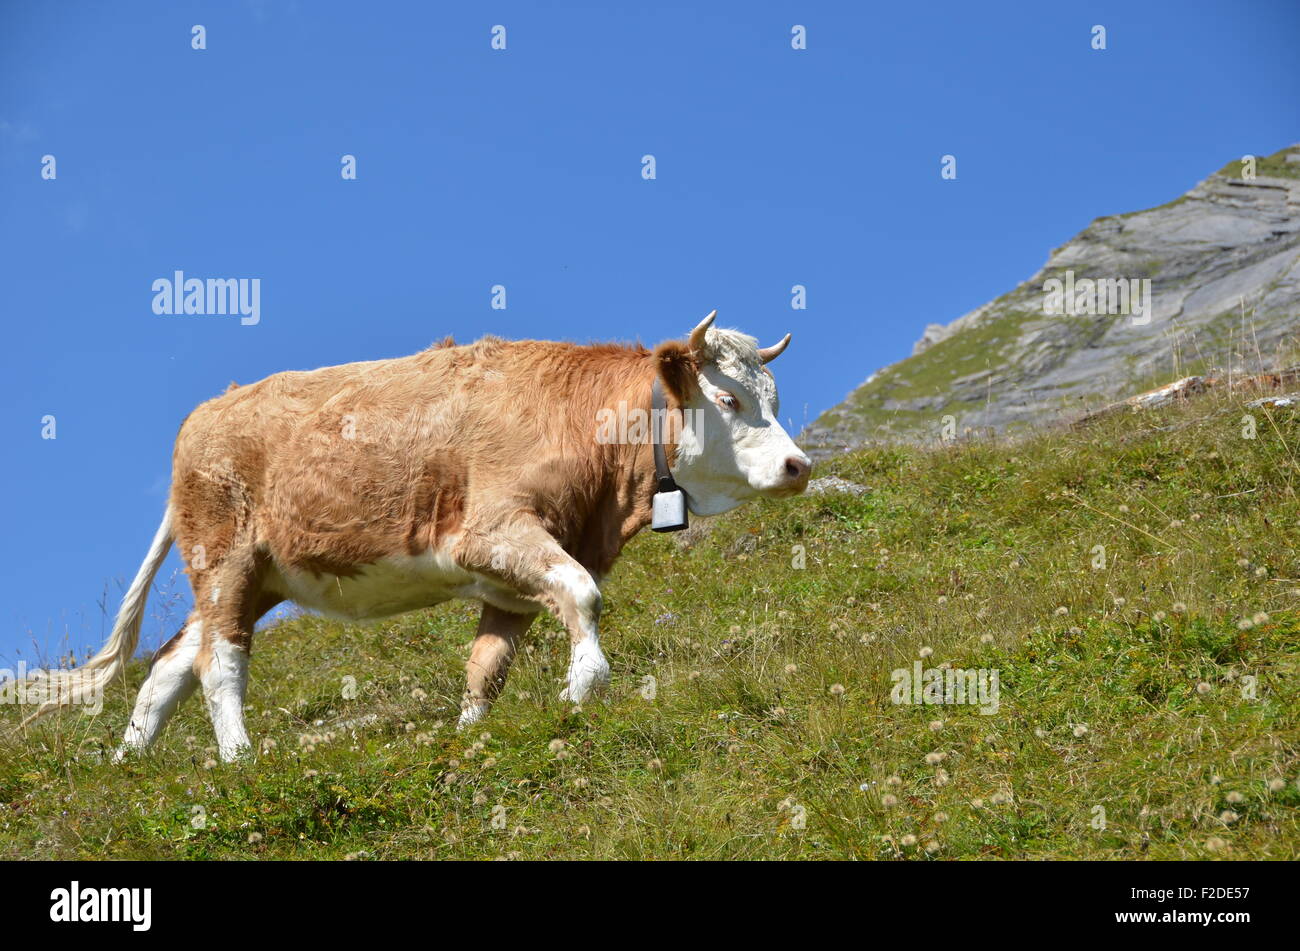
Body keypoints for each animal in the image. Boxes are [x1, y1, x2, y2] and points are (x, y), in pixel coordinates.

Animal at [23, 311, 811, 761]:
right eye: (727, 398)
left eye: (773, 398)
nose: (798, 465)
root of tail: (210, 411)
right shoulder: (494, 532)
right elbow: (583, 595)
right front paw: (583, 686)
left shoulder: (511, 583)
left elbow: (487, 666)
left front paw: (470, 735)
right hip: (224, 560)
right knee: (220, 664)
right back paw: (241, 757)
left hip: (258, 577)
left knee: (169, 666)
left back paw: (125, 767)